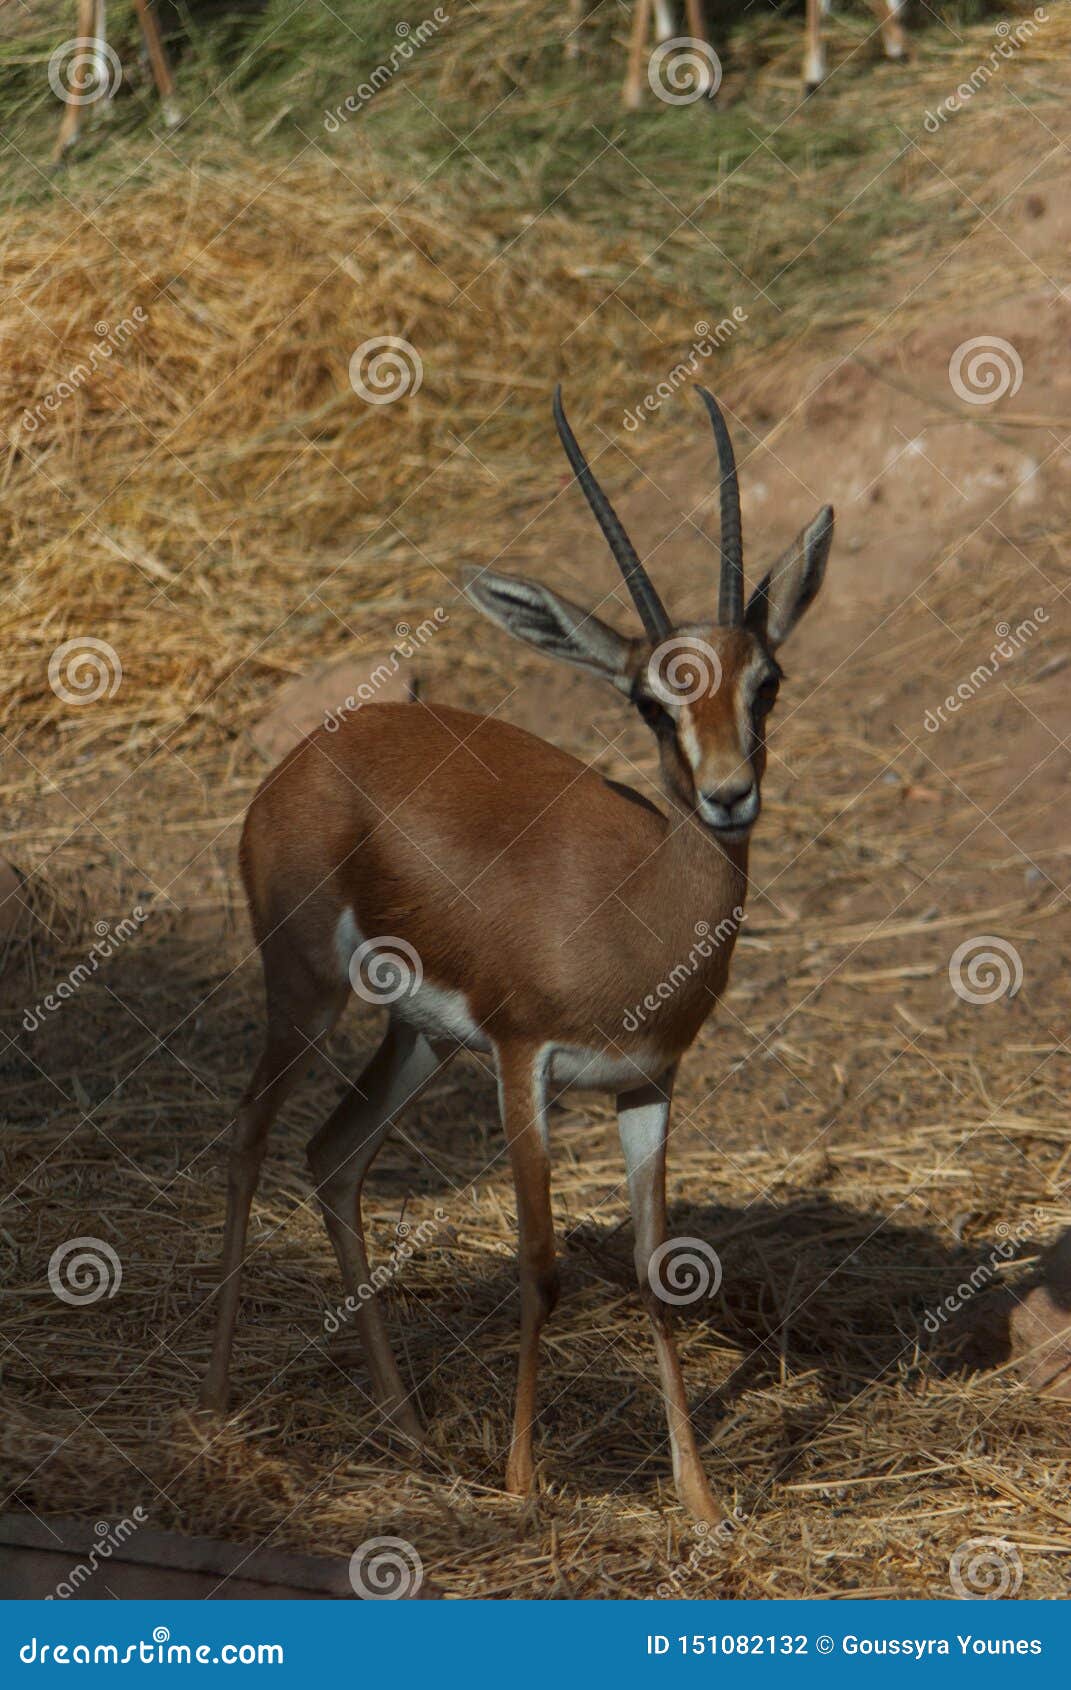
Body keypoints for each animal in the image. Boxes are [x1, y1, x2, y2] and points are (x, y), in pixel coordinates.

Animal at [200, 386, 834, 1522]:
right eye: (649, 699)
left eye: (765, 680)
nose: (728, 796)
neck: (635, 908)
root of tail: (310, 754)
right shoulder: (521, 1060)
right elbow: (539, 1264)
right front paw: (524, 1485)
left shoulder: (648, 1083)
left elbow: (657, 1268)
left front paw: (700, 1503)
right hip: (307, 998)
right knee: (248, 1140)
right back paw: (223, 1411)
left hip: (419, 1039)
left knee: (333, 1160)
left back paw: (409, 1434)